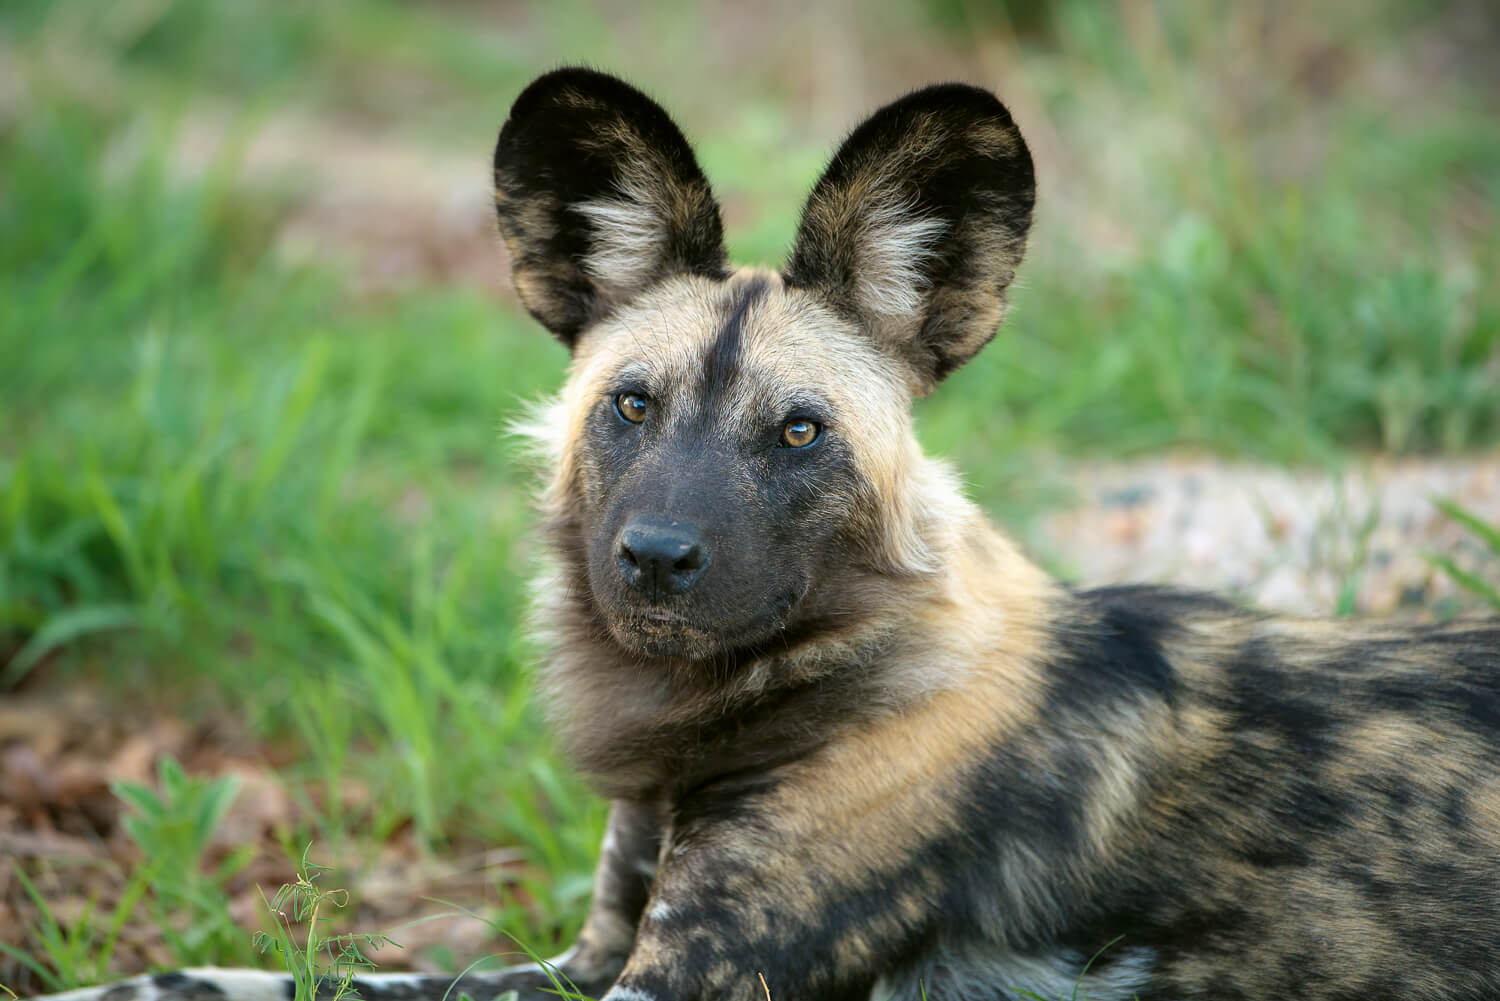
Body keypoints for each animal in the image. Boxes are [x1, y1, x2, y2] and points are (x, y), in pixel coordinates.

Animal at [31, 68, 1500, 1001]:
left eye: (798, 432)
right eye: (630, 404)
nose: (658, 559)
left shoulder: (677, 982)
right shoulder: (589, 961)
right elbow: (251, 979)